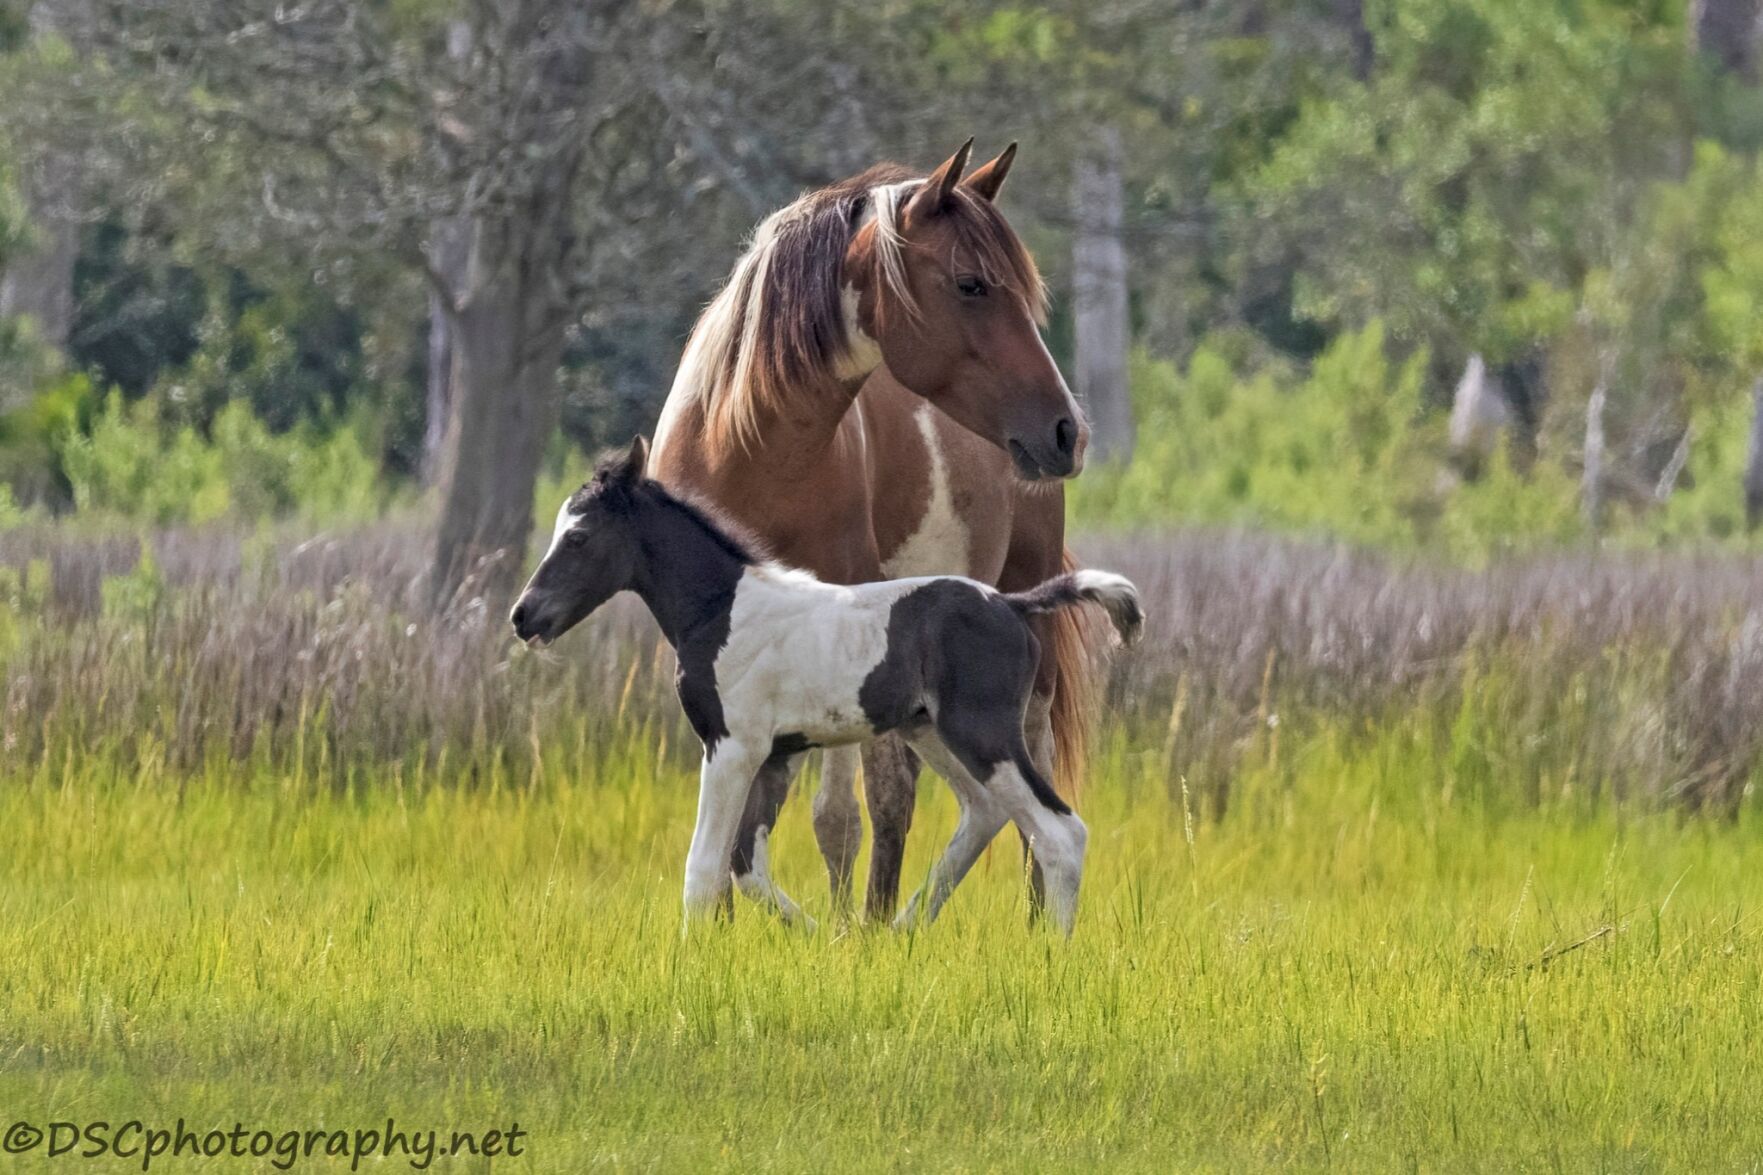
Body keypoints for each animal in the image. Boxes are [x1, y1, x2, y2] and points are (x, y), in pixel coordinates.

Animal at [509, 438, 1142, 934]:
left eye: (579, 537)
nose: (523, 616)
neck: (720, 610)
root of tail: (1013, 603)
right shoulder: (776, 756)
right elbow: (745, 864)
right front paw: (822, 937)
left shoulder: (732, 746)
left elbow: (704, 866)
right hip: (930, 731)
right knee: (986, 812)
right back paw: (898, 931)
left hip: (982, 733)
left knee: (1060, 832)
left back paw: (1051, 952)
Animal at [649, 139, 1095, 925]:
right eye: (971, 284)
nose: (1066, 430)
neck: (743, 448)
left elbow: (846, 813)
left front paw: (849, 928)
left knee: (1008, 796)